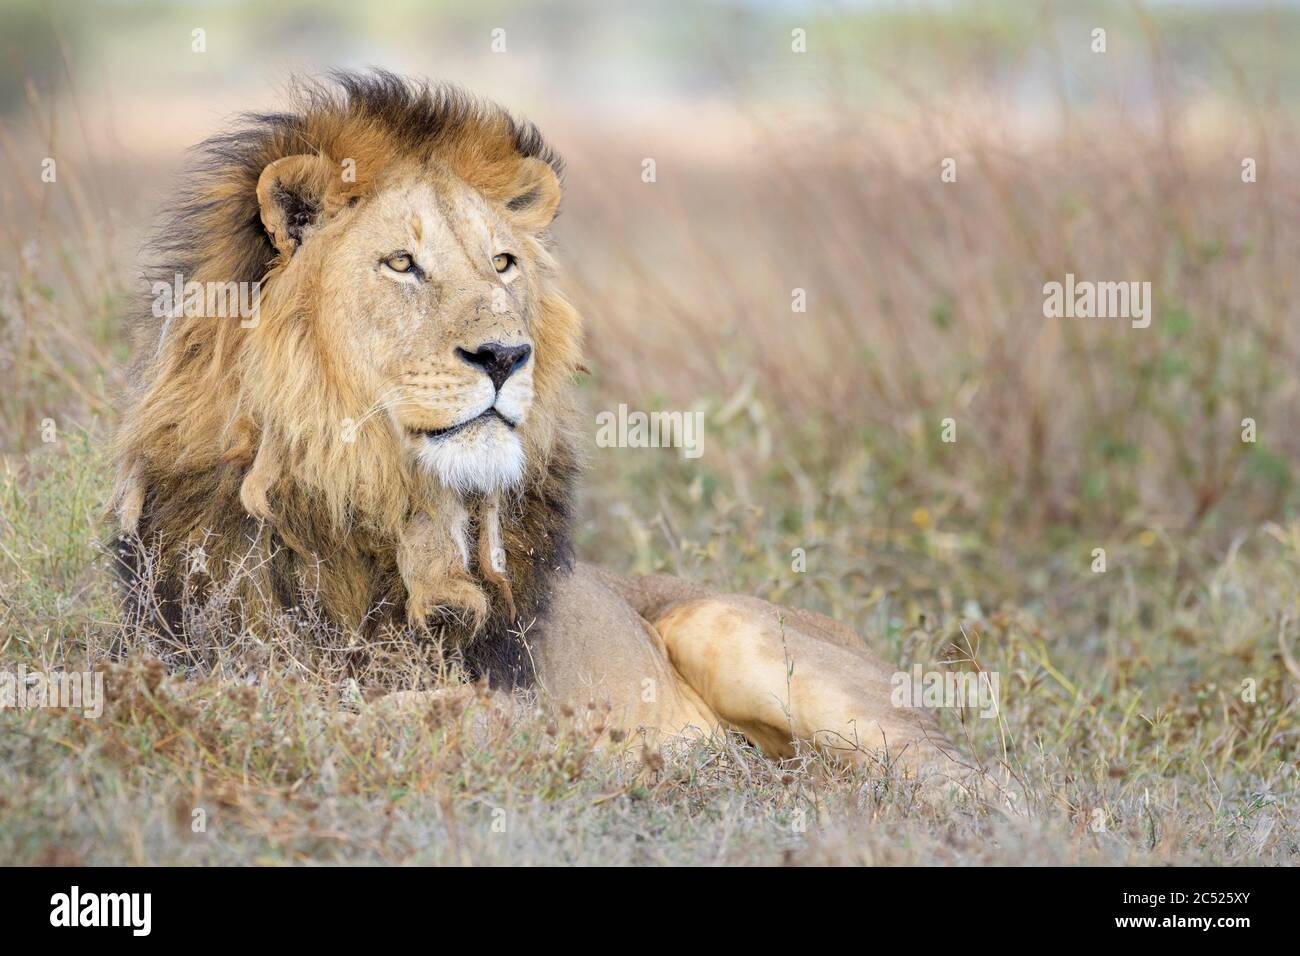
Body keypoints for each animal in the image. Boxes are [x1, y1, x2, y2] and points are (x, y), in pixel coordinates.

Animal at [111, 71, 968, 787]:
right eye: (400, 264)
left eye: (502, 264)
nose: (505, 355)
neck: (364, 498)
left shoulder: (511, 695)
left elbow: (400, 713)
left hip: (730, 628)